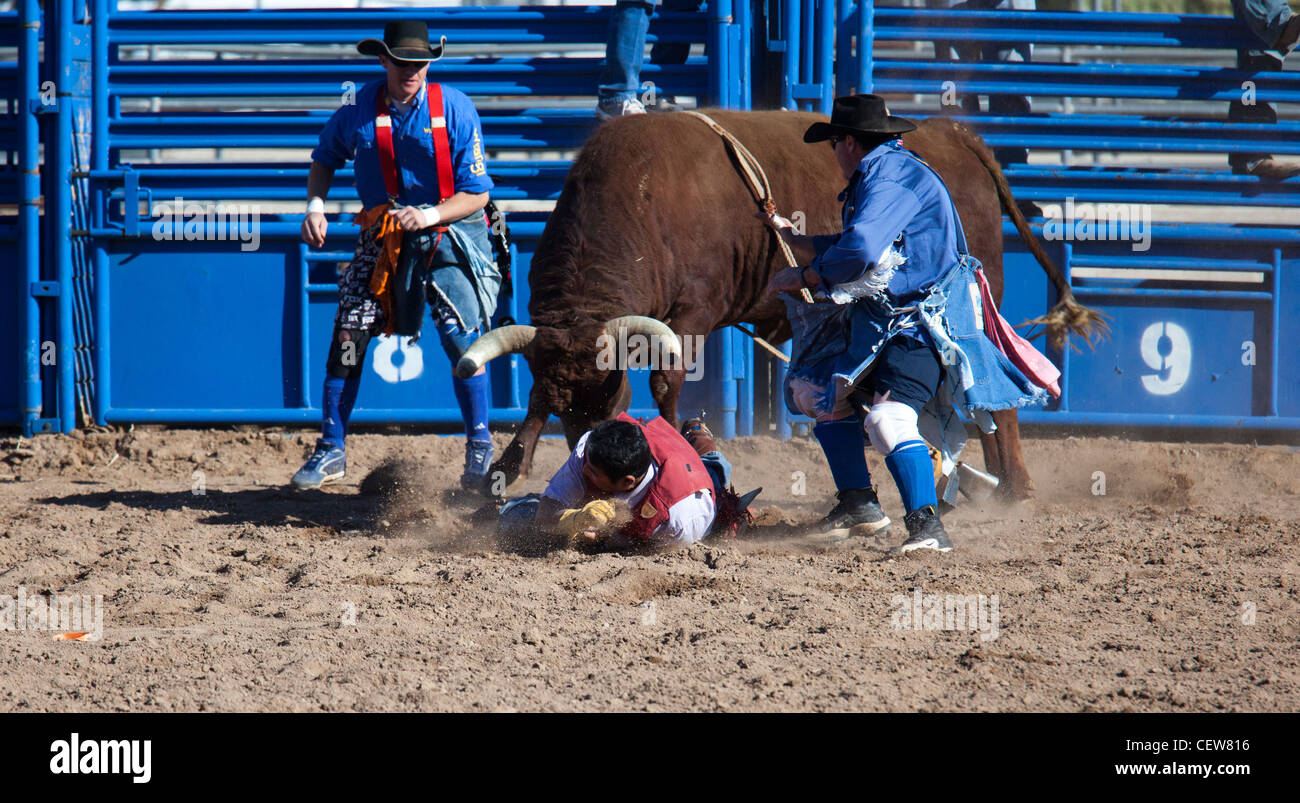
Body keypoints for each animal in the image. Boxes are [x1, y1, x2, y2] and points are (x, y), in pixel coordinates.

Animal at [455, 110, 1105, 501]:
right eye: (564, 410)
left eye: (608, 395)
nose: (592, 471)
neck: (642, 201)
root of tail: (949, 131)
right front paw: (503, 469)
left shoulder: (692, 315)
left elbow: (667, 384)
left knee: (998, 389)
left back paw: (1015, 483)